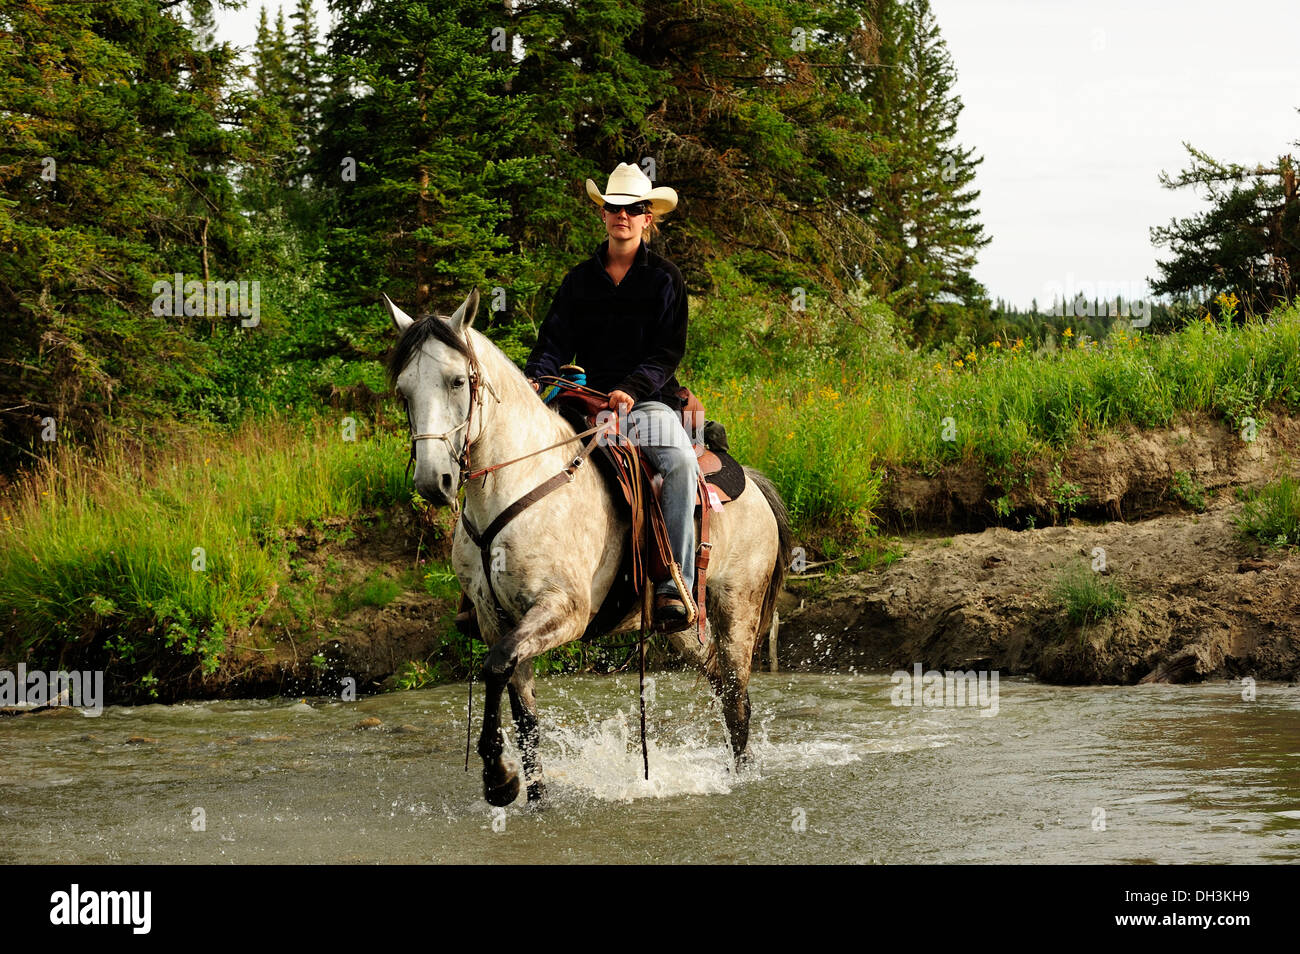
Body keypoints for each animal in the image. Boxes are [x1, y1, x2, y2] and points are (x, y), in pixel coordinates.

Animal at [384, 288, 791, 806]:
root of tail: (754, 483)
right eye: (404, 391)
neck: (522, 479)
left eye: (457, 381)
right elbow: (523, 710)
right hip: (682, 629)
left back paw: (739, 779)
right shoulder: (498, 618)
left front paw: (499, 779)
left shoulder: (564, 610)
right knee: (720, 685)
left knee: (737, 699)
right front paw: (532, 795)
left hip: (737, 607)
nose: (432, 482)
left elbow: (495, 669)